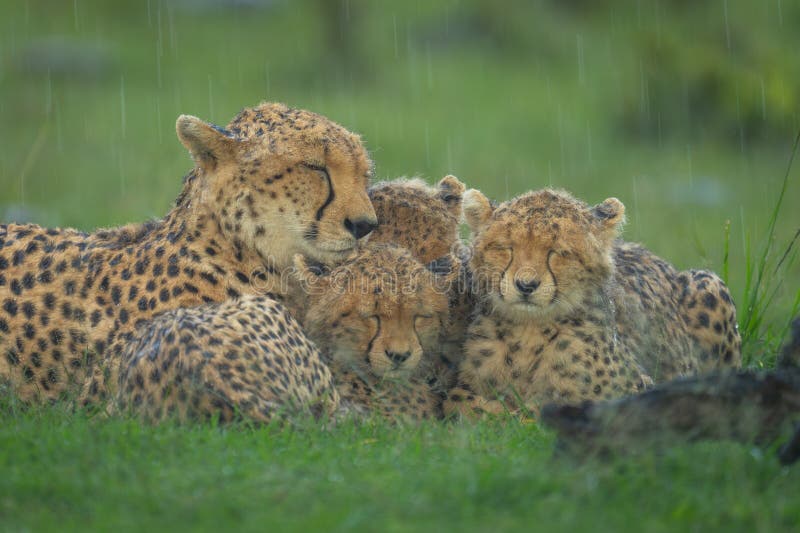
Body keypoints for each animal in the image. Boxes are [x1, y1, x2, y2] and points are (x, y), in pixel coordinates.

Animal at [445, 187, 740, 417]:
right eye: (504, 248)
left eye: (560, 252)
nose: (526, 285)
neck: (528, 333)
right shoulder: (463, 388)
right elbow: (461, 402)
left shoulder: (633, 391)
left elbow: (550, 406)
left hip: (710, 284)